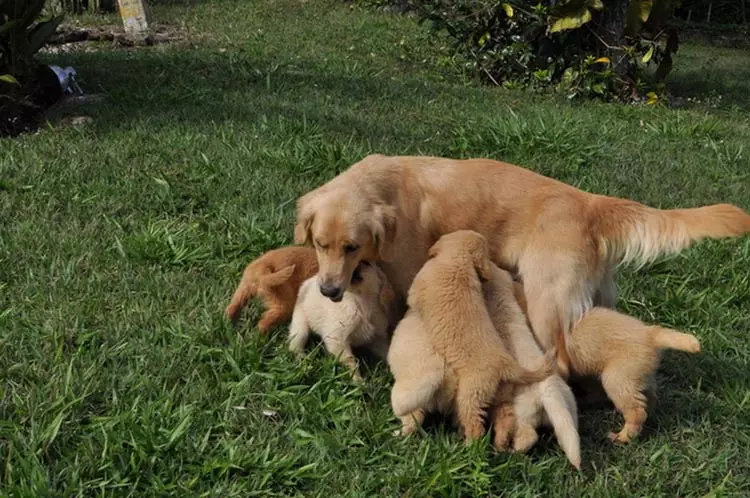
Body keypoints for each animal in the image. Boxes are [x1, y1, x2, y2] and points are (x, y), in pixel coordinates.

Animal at [294, 154, 750, 376]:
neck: (382, 185)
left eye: (351, 246)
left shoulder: (407, 275)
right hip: (596, 301)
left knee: (562, 362)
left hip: (547, 302)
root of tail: (590, 202)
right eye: (320, 244)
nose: (329, 292)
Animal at [400, 231, 560, 442]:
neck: (459, 260)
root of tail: (506, 363)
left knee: (475, 424)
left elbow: (412, 299)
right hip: (496, 392)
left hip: (471, 394)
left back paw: (470, 443)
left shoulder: (419, 284)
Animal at [484, 266, 584, 468]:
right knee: (569, 432)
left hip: (521, 415)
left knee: (528, 436)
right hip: (568, 409)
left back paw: (511, 452)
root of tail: (549, 392)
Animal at [516, 280, 704, 444]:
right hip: (638, 377)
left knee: (637, 411)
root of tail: (651, 334)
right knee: (649, 399)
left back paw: (621, 437)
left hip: (616, 379)